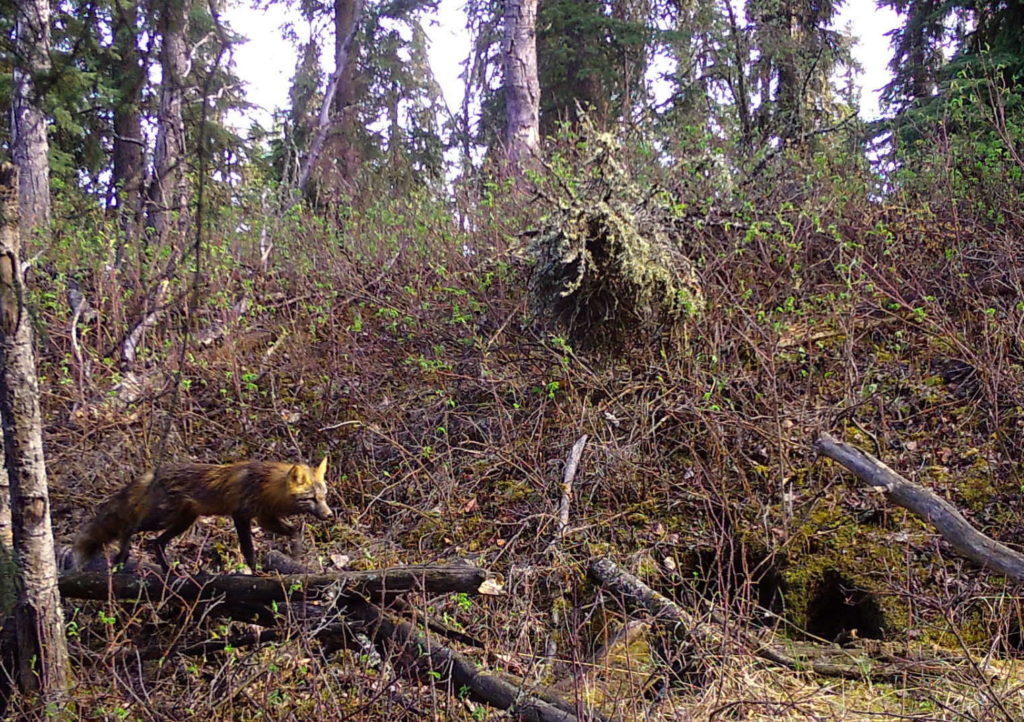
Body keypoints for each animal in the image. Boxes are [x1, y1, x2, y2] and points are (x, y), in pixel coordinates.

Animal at [74, 457, 334, 572]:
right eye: (311, 499)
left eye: (324, 497)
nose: (329, 515)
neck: (266, 486)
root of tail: (153, 473)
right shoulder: (241, 516)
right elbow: (248, 550)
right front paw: (255, 573)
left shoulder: (265, 518)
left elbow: (295, 531)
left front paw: (296, 552)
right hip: (162, 518)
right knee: (130, 528)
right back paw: (123, 556)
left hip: (182, 522)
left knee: (156, 543)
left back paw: (169, 571)